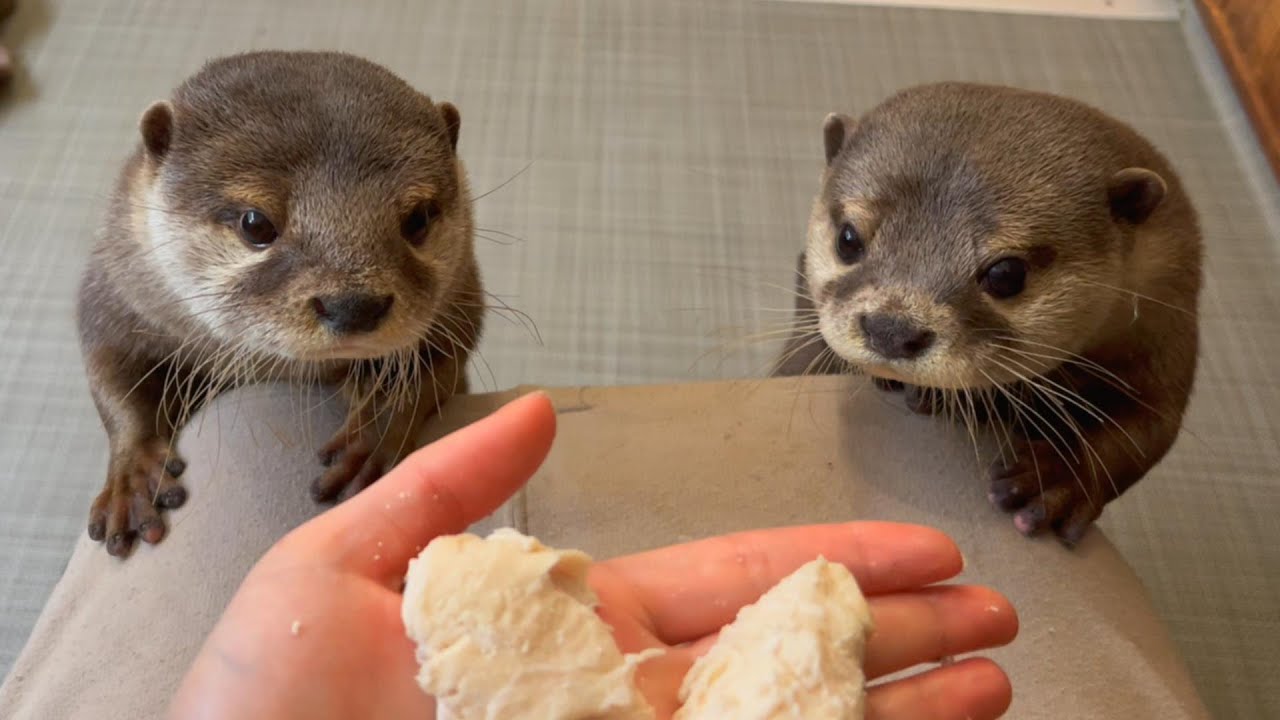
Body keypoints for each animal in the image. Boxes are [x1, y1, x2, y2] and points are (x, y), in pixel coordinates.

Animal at [76, 51, 485, 558]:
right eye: (255, 223)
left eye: (418, 219)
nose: (354, 304)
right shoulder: (115, 291)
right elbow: (110, 371)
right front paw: (133, 478)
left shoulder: (460, 303)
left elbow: (442, 365)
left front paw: (375, 427)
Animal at [776, 82, 1202, 547]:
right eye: (849, 238)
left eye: (1006, 273)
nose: (891, 329)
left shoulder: (1166, 321)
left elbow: (1146, 427)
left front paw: (1056, 477)